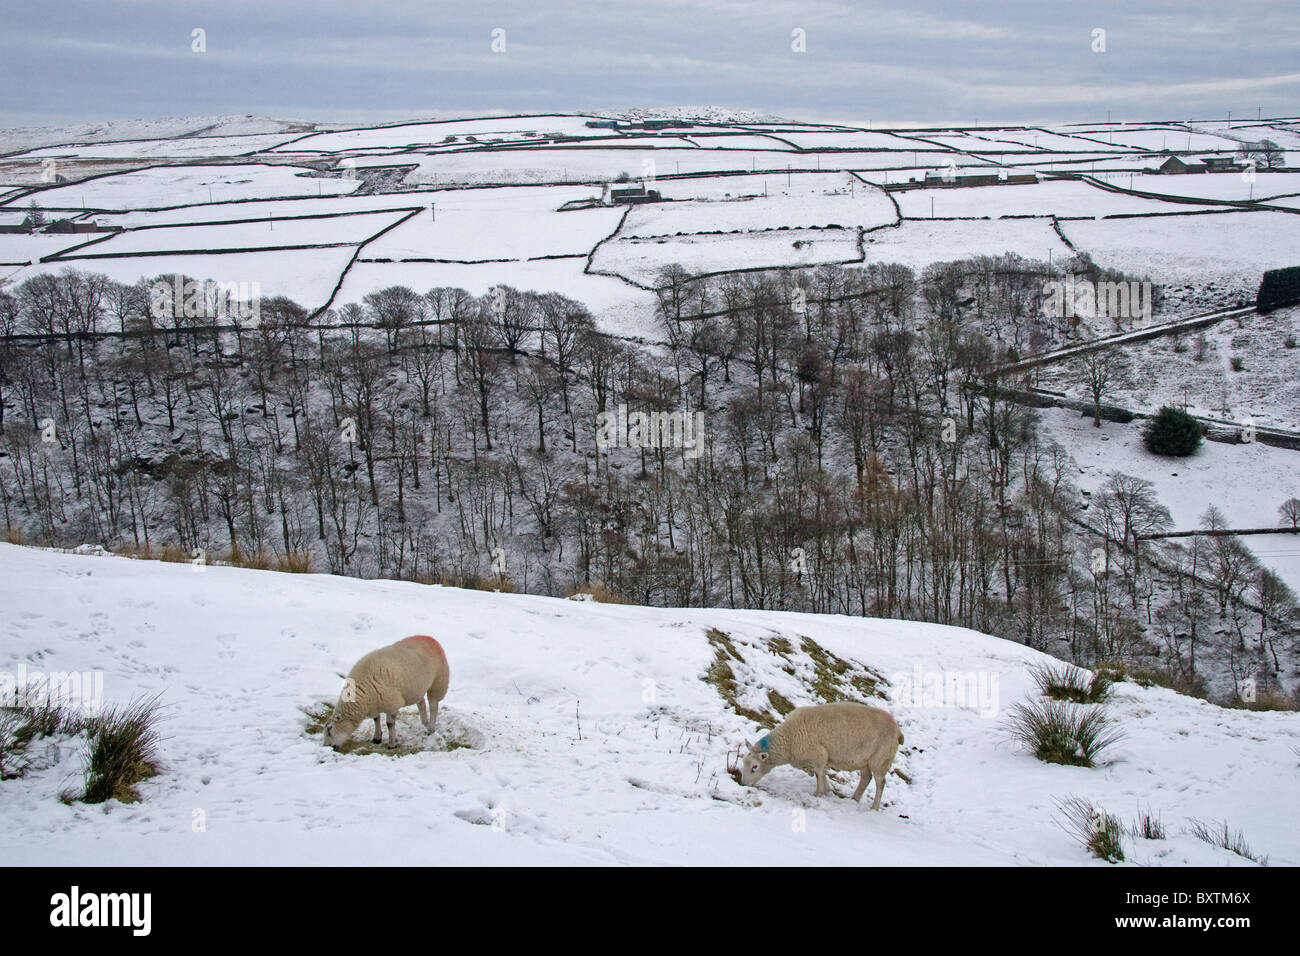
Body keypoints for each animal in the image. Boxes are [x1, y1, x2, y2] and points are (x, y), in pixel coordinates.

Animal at [737, 701, 903, 810]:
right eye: (743, 762)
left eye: (754, 767)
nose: (743, 784)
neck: (788, 739)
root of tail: (898, 731)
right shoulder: (823, 757)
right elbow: (822, 773)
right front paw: (826, 791)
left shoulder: (818, 755)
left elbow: (818, 774)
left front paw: (817, 794)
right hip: (865, 760)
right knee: (866, 778)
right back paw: (855, 798)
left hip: (881, 760)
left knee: (880, 783)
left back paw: (874, 807)